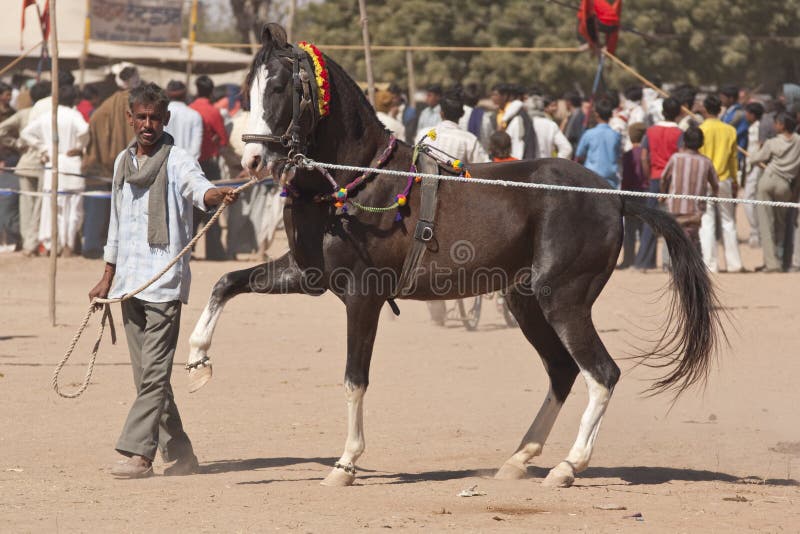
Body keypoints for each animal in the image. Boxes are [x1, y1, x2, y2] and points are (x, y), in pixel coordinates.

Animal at [185, 23, 723, 488]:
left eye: (279, 87)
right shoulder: (306, 274)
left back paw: (568, 466)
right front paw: (198, 357)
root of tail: (613, 197)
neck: (358, 179)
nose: (252, 159)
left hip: (564, 301)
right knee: (563, 371)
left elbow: (354, 379)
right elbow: (226, 284)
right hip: (526, 301)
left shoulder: (362, 297)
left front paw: (346, 463)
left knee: (602, 374)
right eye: (247, 90)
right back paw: (520, 458)